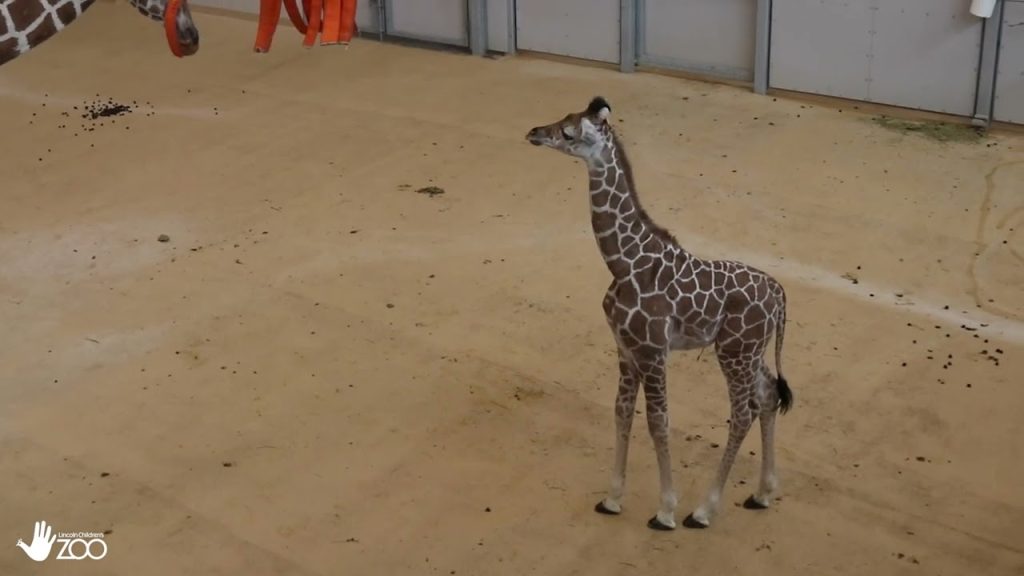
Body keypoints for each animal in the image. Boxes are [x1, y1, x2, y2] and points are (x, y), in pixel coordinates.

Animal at [525, 96, 794, 530]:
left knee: (743, 412)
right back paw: (762, 494)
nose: (534, 132)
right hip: (748, 351)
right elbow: (622, 413)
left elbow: (658, 422)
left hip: (733, 352)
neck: (624, 263)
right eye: (562, 118)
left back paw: (703, 511)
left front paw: (665, 510)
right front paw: (612, 499)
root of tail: (780, 296)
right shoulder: (625, 348)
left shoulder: (653, 351)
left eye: (568, 132)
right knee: (768, 395)